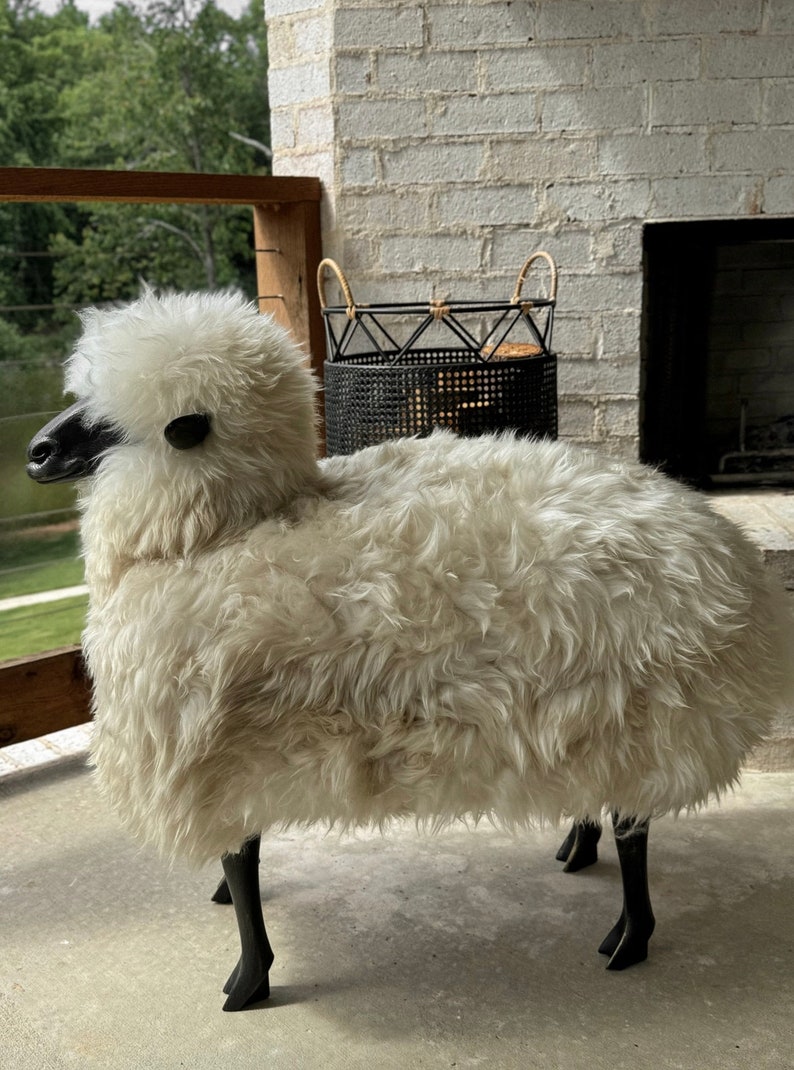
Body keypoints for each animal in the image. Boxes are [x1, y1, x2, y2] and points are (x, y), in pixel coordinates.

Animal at [27, 289, 794, 1012]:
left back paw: (629, 936)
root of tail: (731, 558)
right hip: (591, 712)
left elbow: (242, 865)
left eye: (114, 426)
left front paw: (248, 979)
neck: (226, 528)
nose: (35, 453)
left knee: (635, 828)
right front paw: (230, 917)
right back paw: (576, 846)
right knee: (603, 791)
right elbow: (238, 859)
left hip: (661, 721)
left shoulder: (215, 758)